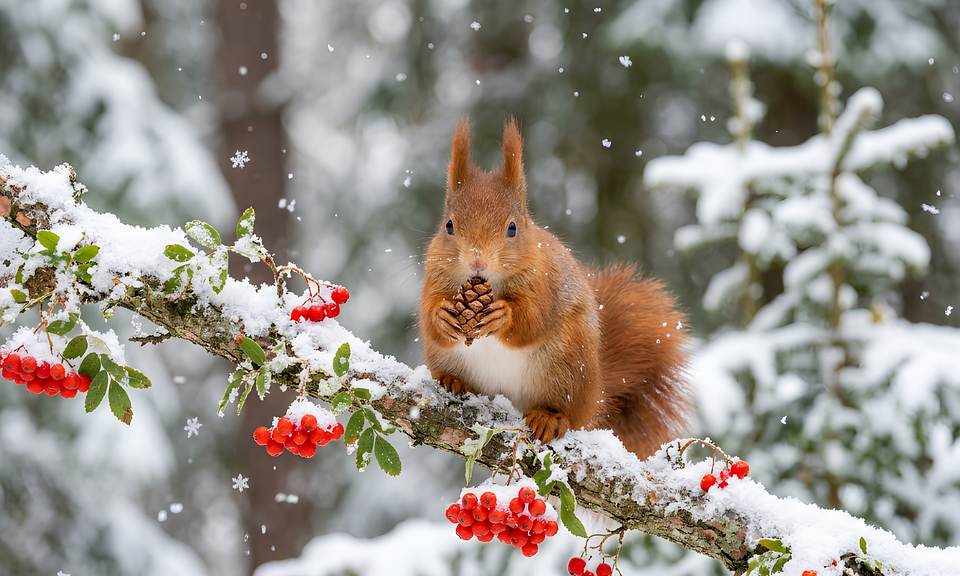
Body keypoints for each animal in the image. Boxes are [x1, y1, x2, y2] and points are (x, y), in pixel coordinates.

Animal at [420, 117, 691, 458]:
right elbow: (428, 314)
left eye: (513, 228)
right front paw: (442, 314)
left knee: (568, 412)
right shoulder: (434, 273)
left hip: (568, 365)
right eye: (449, 226)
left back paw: (549, 417)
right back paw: (453, 381)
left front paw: (503, 315)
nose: (477, 262)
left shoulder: (547, 281)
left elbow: (534, 319)